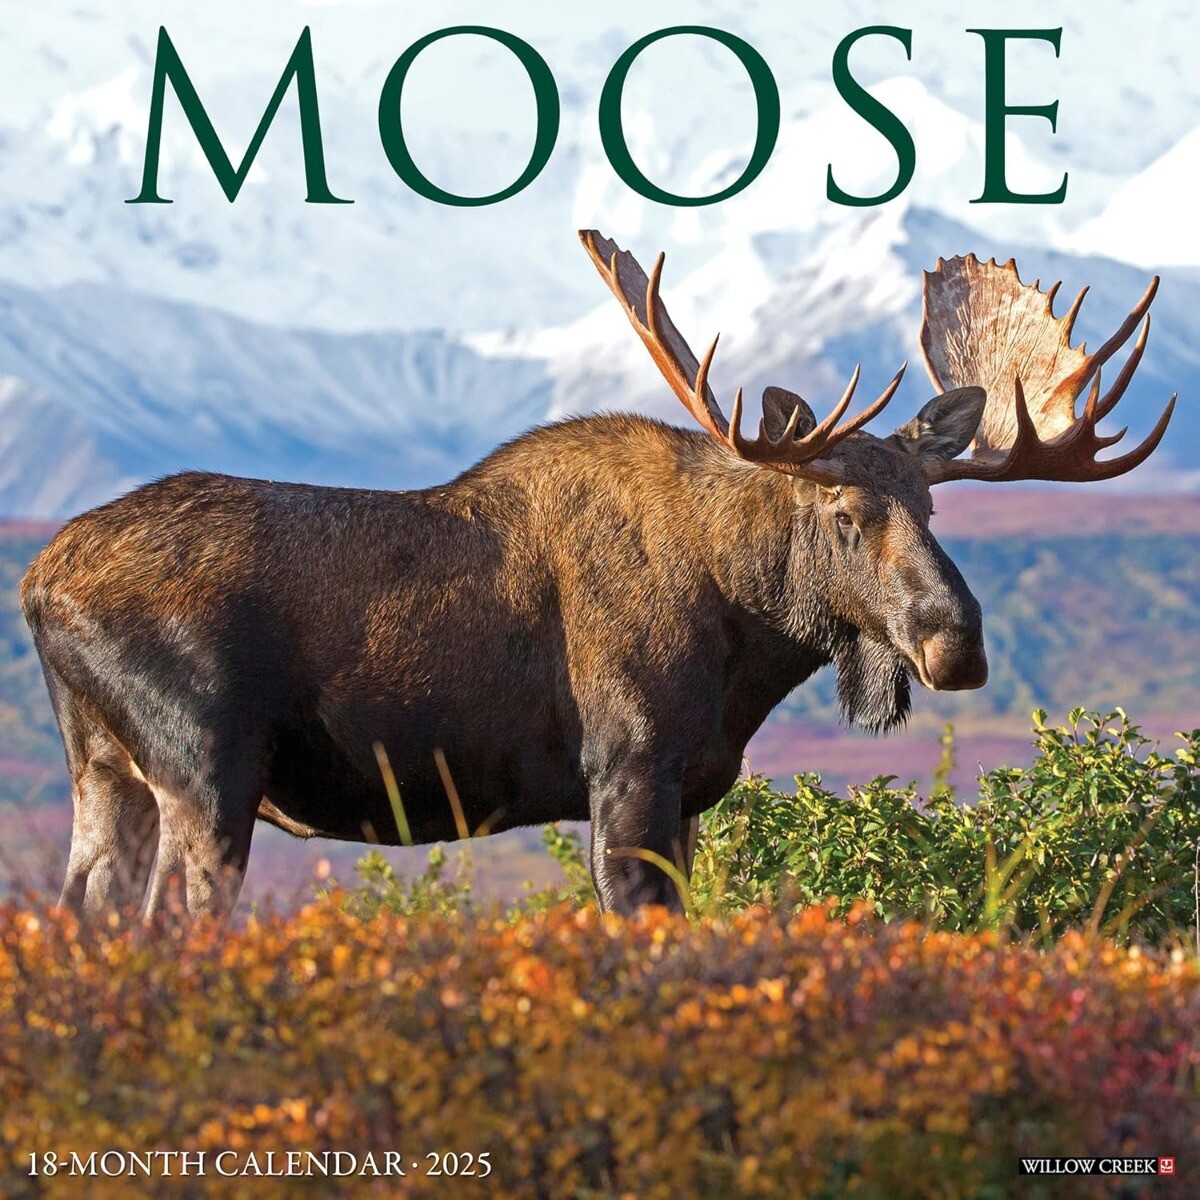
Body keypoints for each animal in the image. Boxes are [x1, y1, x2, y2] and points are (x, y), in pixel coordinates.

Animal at [19, 231, 1175, 919]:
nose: (957, 642)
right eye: (844, 513)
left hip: (106, 772)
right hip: (206, 769)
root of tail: (35, 584)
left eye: (934, 507)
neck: (748, 642)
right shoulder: (628, 769)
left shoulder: (688, 792)